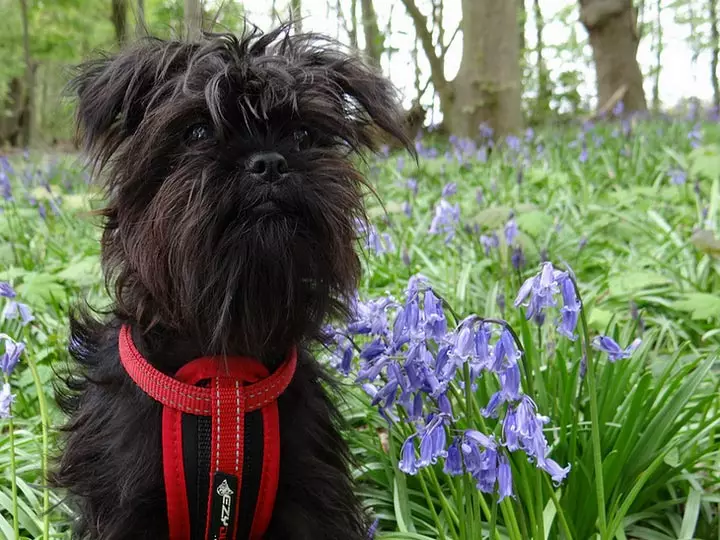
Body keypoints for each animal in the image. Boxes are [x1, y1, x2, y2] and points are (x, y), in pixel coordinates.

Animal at [50, 26, 408, 540]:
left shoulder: (310, 496)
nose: (269, 162)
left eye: (302, 134)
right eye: (197, 131)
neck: (224, 371)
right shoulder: (124, 501)